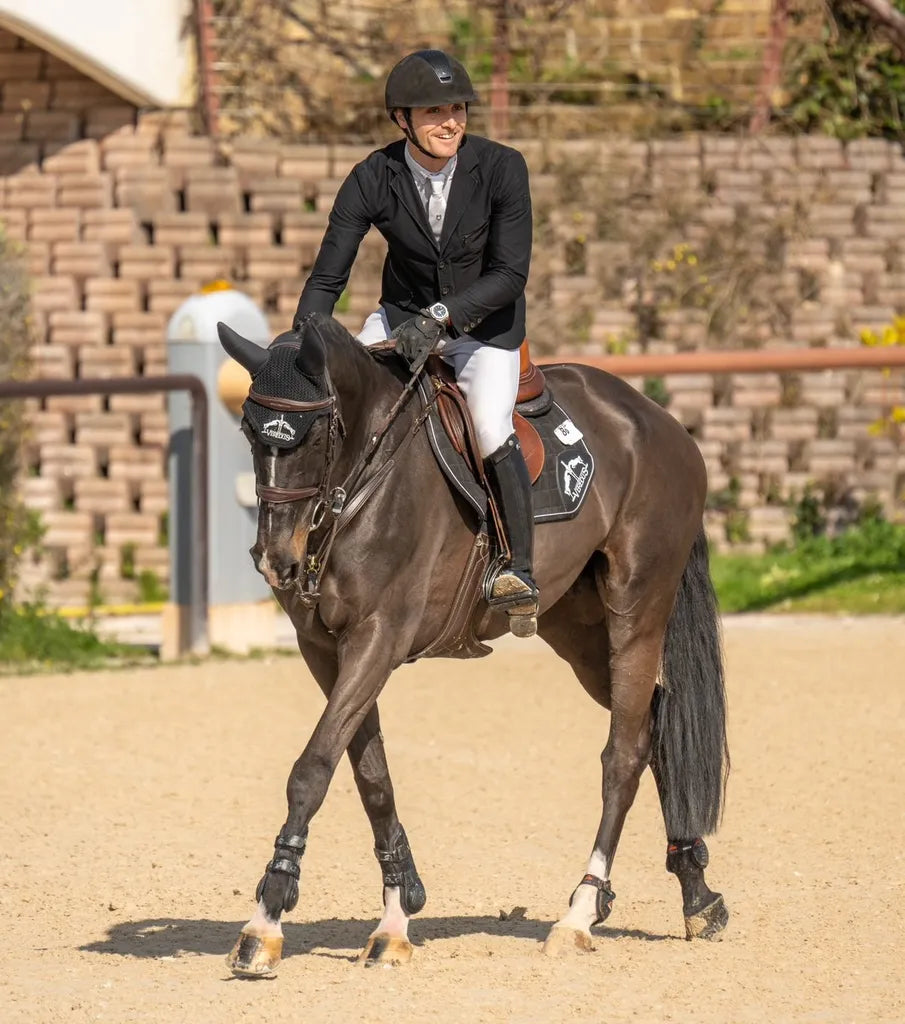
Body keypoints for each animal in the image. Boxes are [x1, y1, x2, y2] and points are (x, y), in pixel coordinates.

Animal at [215, 311, 729, 977]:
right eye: (251, 431)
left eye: (314, 433)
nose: (276, 560)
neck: (364, 474)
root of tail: (663, 424)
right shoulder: (325, 650)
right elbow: (370, 775)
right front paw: (397, 915)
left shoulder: (379, 635)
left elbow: (312, 770)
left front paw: (266, 919)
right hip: (579, 631)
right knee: (655, 724)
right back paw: (697, 894)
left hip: (637, 611)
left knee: (622, 753)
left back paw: (580, 912)